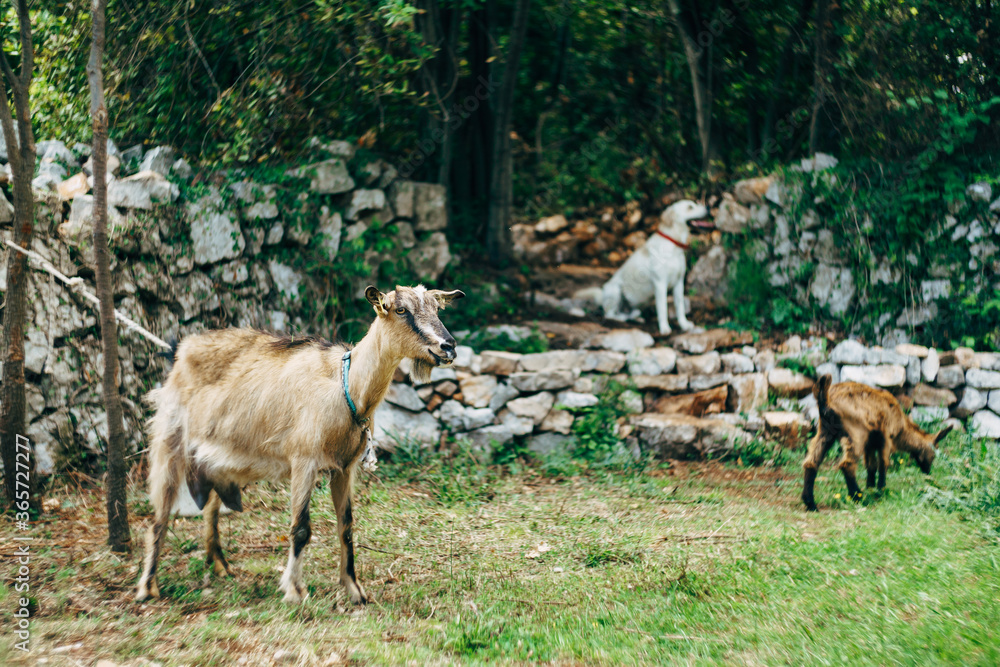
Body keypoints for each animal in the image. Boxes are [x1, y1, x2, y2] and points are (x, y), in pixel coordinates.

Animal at [135, 285, 464, 604]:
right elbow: (301, 528)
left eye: (436, 309)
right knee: (159, 515)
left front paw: (354, 591)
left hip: (217, 458)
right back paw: (147, 588)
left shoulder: (344, 468)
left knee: (211, 508)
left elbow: (346, 526)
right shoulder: (304, 461)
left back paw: (219, 566)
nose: (448, 346)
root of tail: (180, 350)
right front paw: (294, 590)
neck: (346, 385)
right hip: (170, 439)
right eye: (400, 310)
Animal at [801, 375, 952, 511]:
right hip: (855, 432)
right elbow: (883, 463)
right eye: (934, 453)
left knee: (811, 462)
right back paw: (857, 496)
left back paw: (810, 503)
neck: (902, 426)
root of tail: (826, 400)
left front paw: (871, 487)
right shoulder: (886, 437)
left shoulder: (870, 443)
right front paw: (881, 490)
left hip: (826, 431)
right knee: (847, 464)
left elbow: (871, 465)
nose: (928, 471)